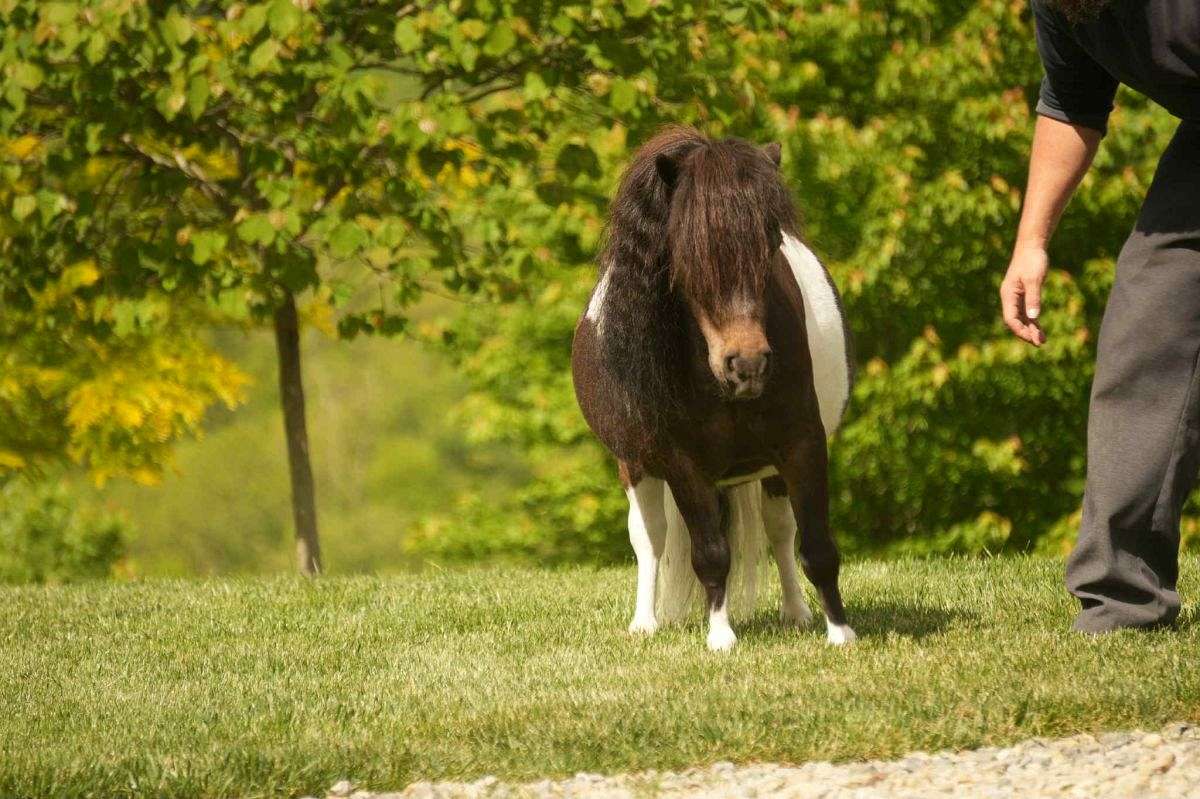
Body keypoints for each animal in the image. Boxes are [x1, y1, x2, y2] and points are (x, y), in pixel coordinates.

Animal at [571, 126, 856, 651]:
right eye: (685, 250)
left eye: (771, 240)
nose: (747, 363)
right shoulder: (683, 465)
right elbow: (709, 552)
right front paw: (721, 637)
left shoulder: (802, 444)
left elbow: (816, 545)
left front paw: (841, 634)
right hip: (635, 466)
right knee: (650, 538)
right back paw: (645, 623)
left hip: (769, 469)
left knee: (779, 531)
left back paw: (796, 613)